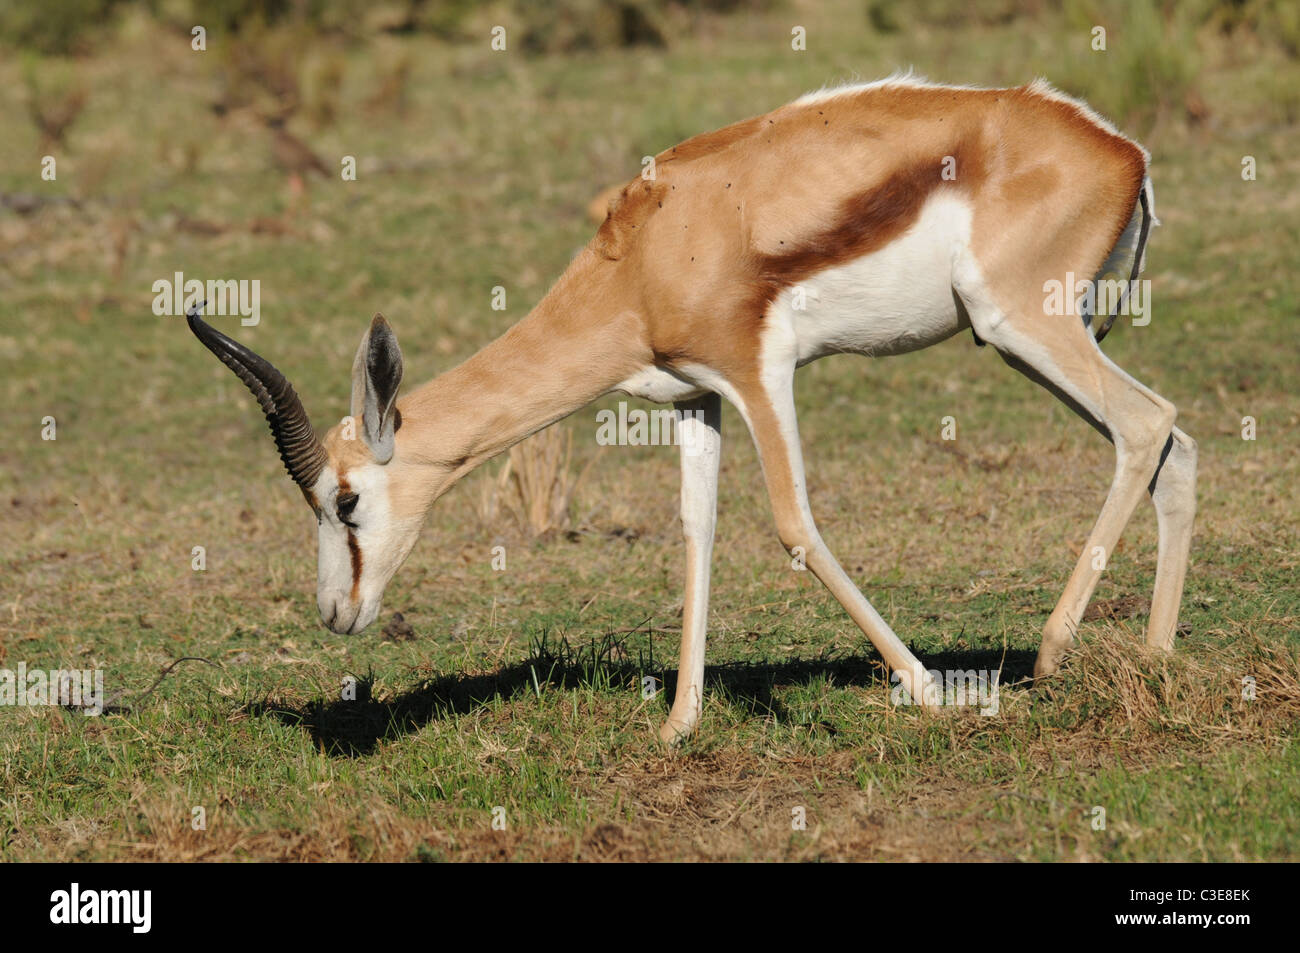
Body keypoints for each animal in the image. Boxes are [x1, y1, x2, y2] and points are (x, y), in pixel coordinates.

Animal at [188, 75, 1196, 742]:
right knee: (1171, 443)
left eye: (345, 500)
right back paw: (1153, 662)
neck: (642, 260)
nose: (335, 612)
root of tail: (1124, 150)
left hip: (1019, 324)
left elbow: (792, 524)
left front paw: (934, 691)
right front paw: (679, 722)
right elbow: (695, 529)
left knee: (1146, 425)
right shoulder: (696, 398)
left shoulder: (759, 372)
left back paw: (1052, 656)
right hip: (1038, 340)